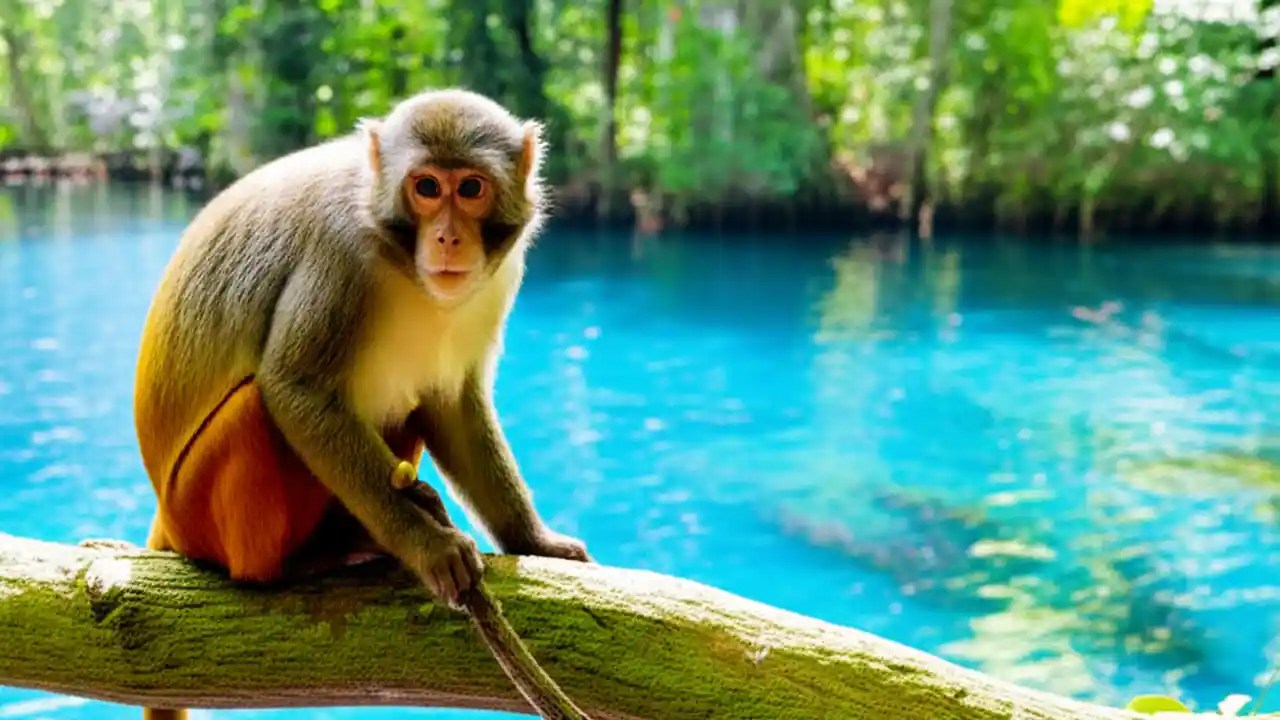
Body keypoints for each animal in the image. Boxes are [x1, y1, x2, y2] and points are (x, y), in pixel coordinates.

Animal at [132, 88, 592, 720]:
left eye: (471, 188)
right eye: (427, 187)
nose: (448, 238)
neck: (397, 256)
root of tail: (167, 514)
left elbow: (452, 404)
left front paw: (532, 540)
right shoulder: (340, 254)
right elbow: (294, 386)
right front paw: (428, 546)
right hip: (198, 506)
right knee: (255, 406)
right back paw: (289, 567)